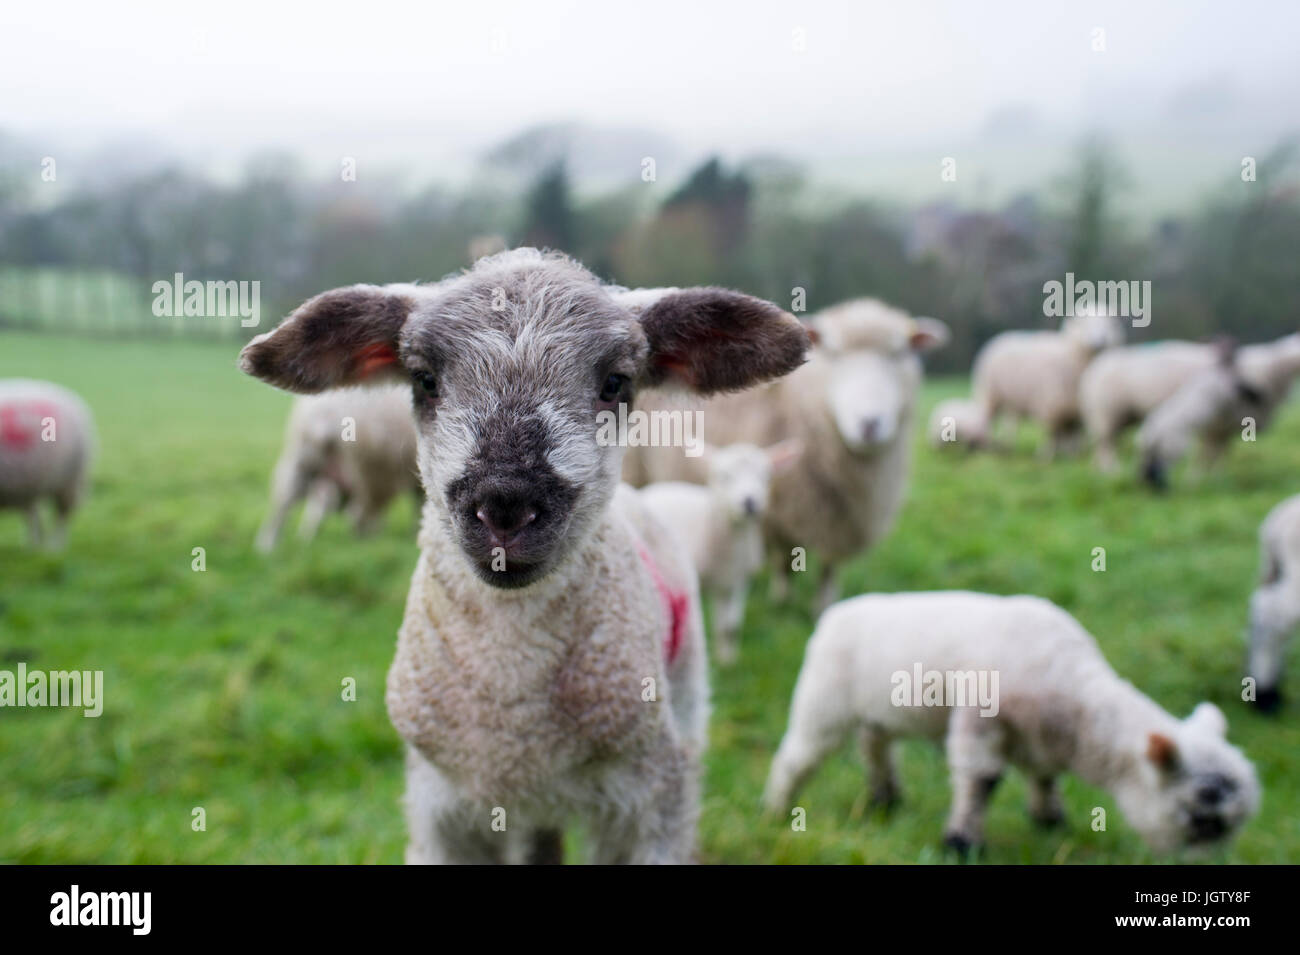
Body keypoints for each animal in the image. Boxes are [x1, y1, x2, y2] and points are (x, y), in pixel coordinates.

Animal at [0, 379, 95, 549]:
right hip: (30, 485)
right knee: (35, 518)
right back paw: (33, 546)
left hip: (68, 480)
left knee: (61, 516)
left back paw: (55, 549)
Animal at [625, 298, 950, 614]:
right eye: (834, 353)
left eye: (899, 352)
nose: (869, 423)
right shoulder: (778, 511)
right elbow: (784, 561)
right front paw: (782, 599)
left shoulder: (840, 518)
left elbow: (829, 568)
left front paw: (823, 604)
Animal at [638, 441, 802, 665]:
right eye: (724, 476)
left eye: (766, 476)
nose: (749, 502)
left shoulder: (737, 581)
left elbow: (729, 626)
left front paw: (727, 660)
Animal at [763, 591, 1260, 855]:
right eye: (1205, 819)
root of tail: (837, 613)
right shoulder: (978, 724)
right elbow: (981, 781)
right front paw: (961, 843)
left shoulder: (1040, 741)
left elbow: (1044, 777)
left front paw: (1050, 821)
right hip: (823, 705)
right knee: (796, 758)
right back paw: (776, 810)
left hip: (878, 713)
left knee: (875, 747)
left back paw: (885, 800)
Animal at [972, 309, 1124, 458]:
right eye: (1085, 324)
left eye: (1108, 325)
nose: (1099, 341)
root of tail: (1002, 335)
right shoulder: (1050, 406)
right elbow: (1051, 434)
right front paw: (1047, 455)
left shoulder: (1075, 410)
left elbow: (1073, 434)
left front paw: (1072, 454)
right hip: (990, 393)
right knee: (987, 418)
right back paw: (988, 445)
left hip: (1011, 401)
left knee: (1010, 421)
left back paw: (1009, 444)